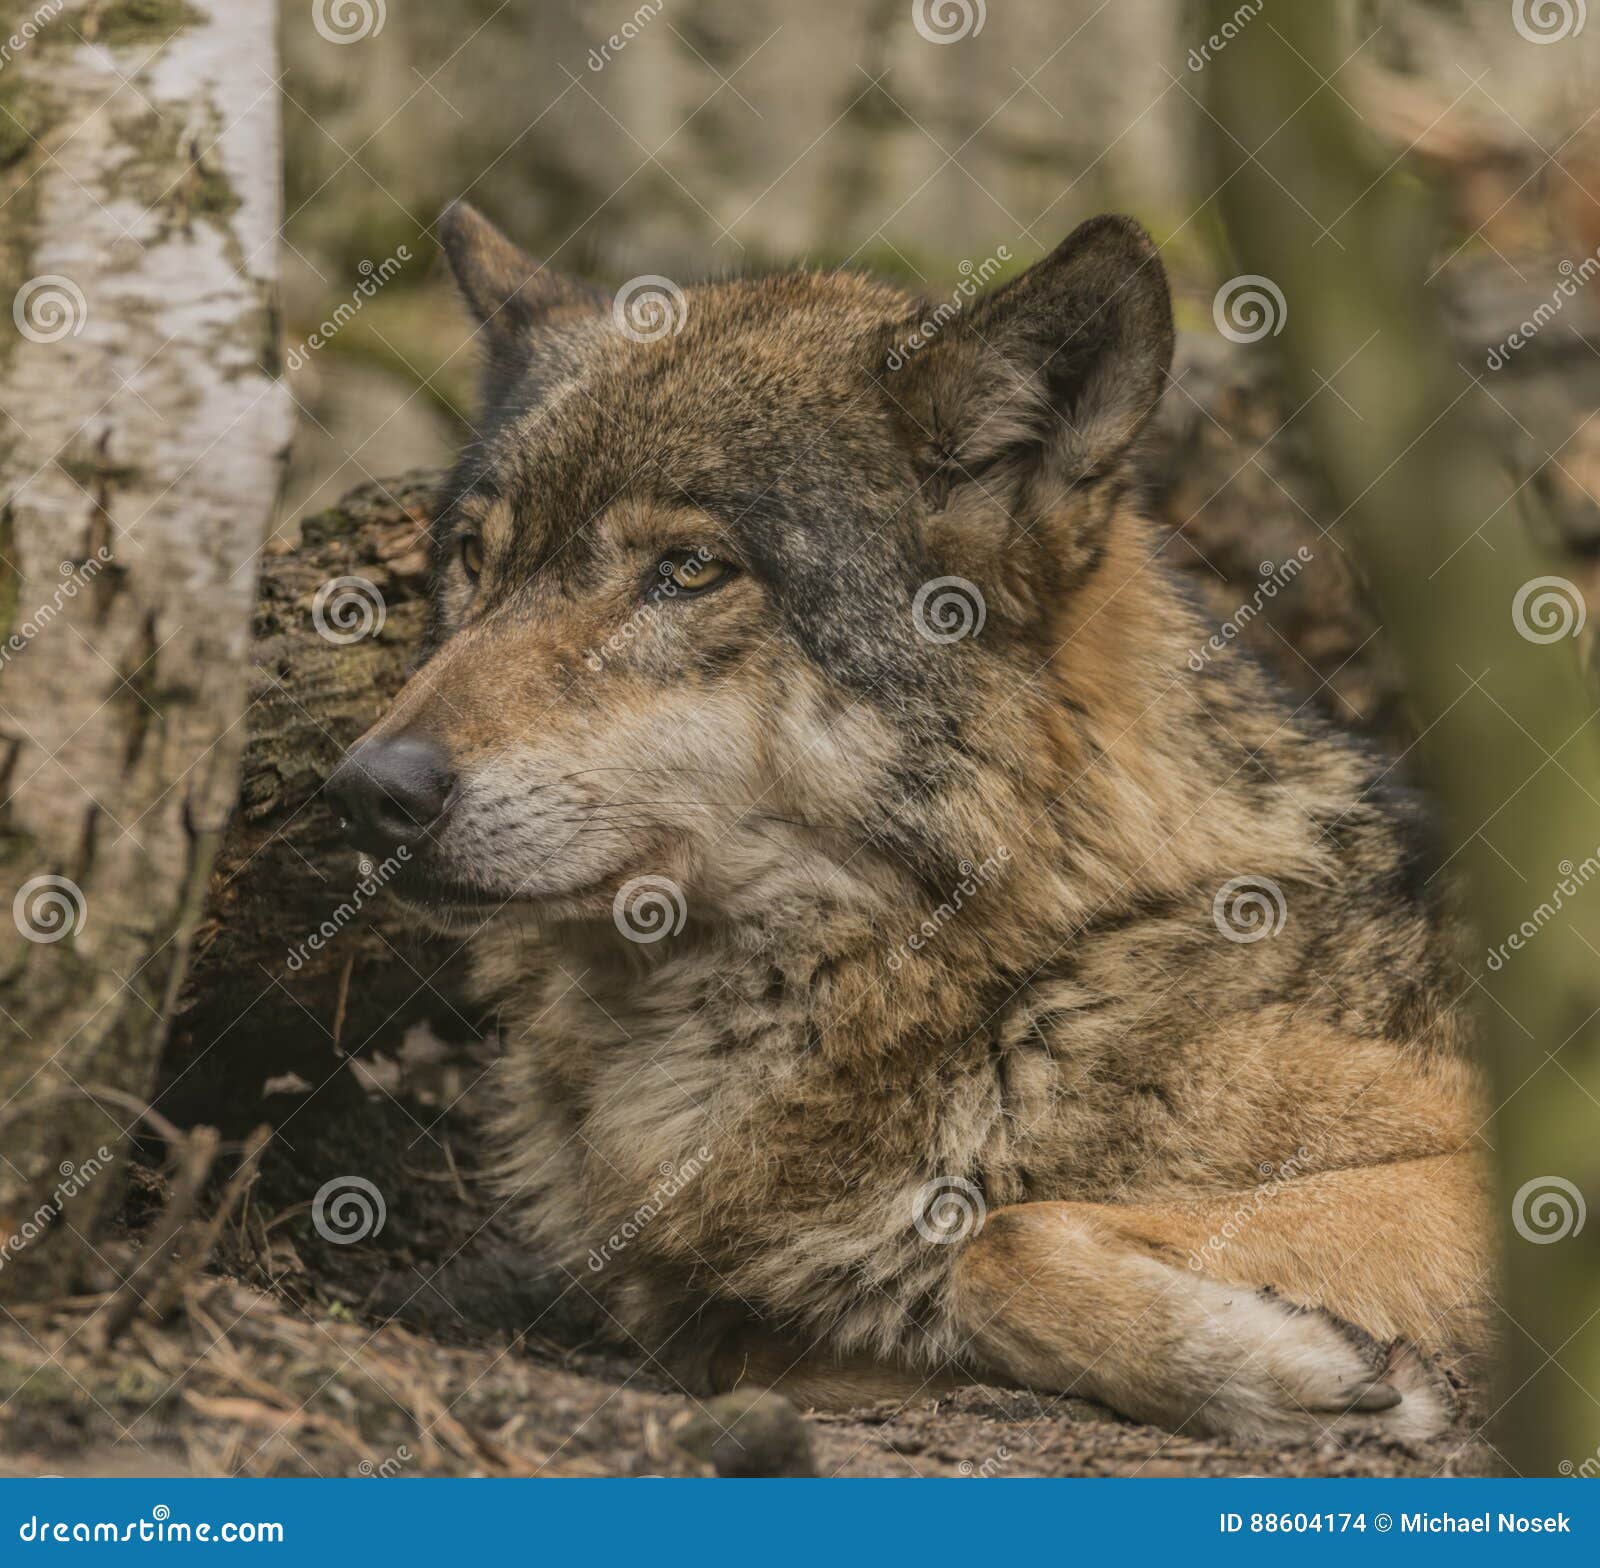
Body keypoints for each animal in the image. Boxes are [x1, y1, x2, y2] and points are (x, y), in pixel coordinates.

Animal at [326, 202, 1490, 1443]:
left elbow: (996, 1243)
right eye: (472, 559)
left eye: (686, 569)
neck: (1016, 979)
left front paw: (1283, 1363)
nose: (370, 788)